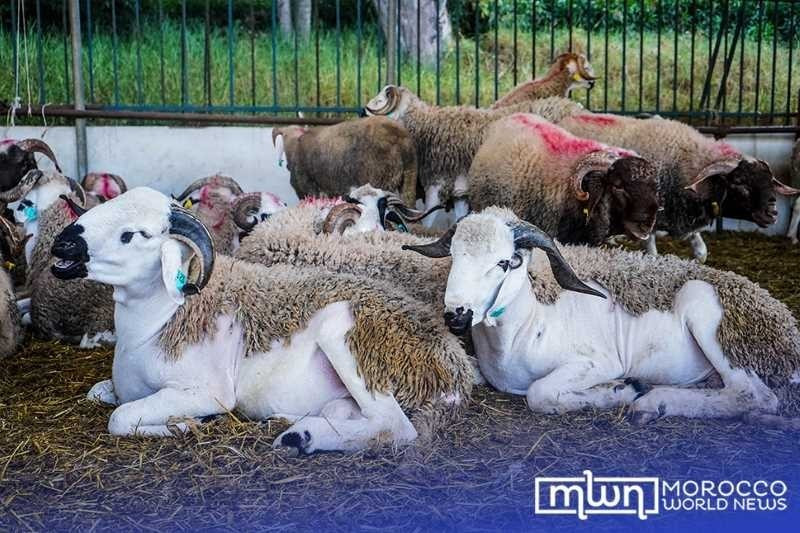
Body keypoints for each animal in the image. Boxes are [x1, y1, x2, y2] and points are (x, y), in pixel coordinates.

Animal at [51, 187, 473, 454]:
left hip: (350, 340)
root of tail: (455, 365)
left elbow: (119, 417)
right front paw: (184, 423)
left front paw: (184, 424)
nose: (62, 244)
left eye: (131, 235)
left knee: (393, 427)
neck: (161, 317)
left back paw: (300, 437)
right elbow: (99, 395)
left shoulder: (205, 391)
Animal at [404, 206, 800, 423]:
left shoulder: (599, 362)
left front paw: (618, 391)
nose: (457, 315)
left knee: (753, 396)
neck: (525, 328)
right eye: (454, 256)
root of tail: (783, 319)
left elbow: (540, 393)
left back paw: (653, 401)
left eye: (505, 262)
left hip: (710, 317)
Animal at [521, 97, 800, 261]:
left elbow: (701, 252)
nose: (773, 214)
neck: (688, 162)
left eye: (769, 181)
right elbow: (652, 250)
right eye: (740, 182)